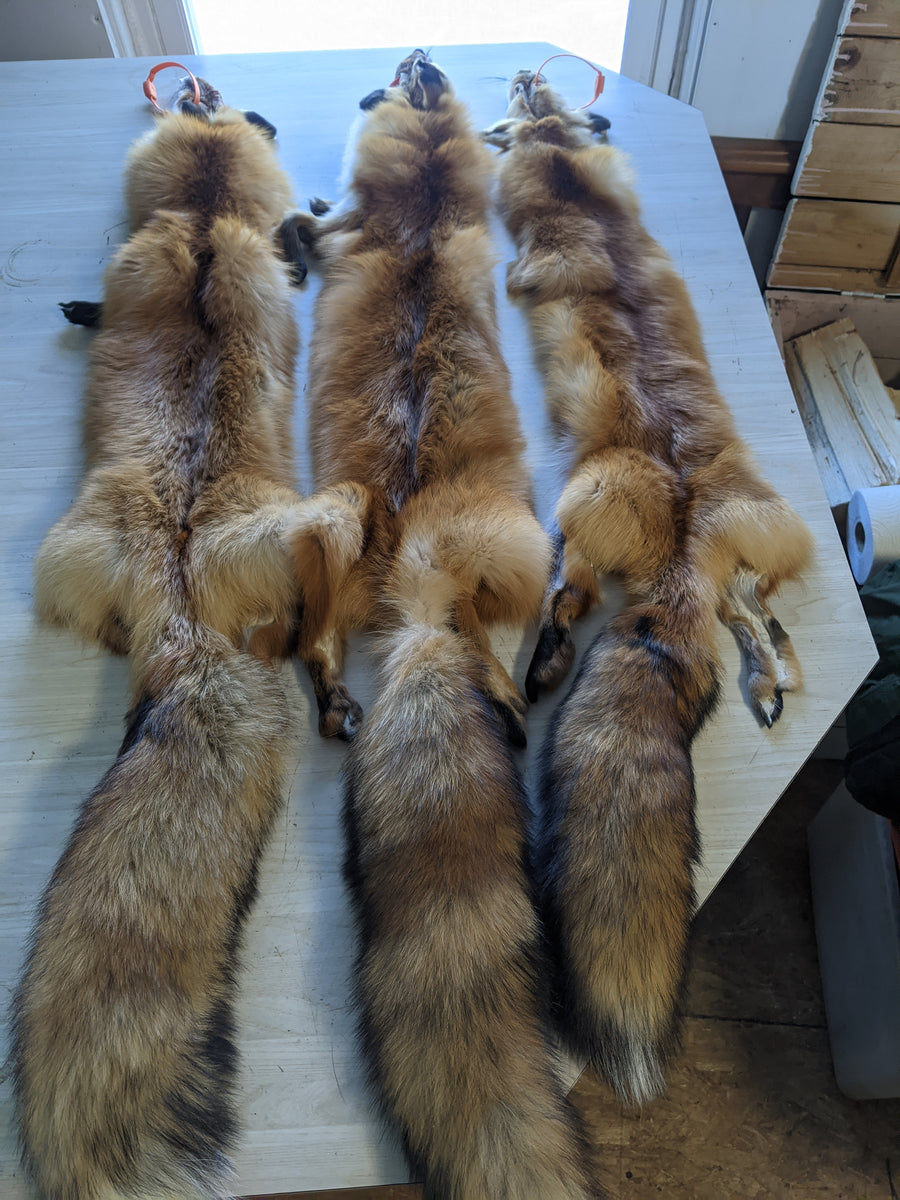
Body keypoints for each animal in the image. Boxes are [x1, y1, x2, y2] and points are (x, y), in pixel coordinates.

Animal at [11, 80, 367, 1200]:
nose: (211, 95)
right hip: (327, 514)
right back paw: (333, 692)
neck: (206, 216)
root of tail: (187, 623)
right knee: (318, 615)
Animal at [289, 51, 601, 1198]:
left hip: (360, 544)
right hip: (437, 564)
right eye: (403, 70)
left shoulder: (377, 217)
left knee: (385, 641)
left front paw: (299, 228)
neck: (421, 194)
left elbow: (324, 226)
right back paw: (497, 698)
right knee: (450, 640)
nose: (422, 57)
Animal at [484, 71, 814, 1107]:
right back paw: (772, 683)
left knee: (570, 599)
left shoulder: (527, 265)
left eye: (532, 88)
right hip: (741, 564)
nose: (520, 76)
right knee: (757, 620)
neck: (563, 168)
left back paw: (544, 666)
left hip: (578, 509)